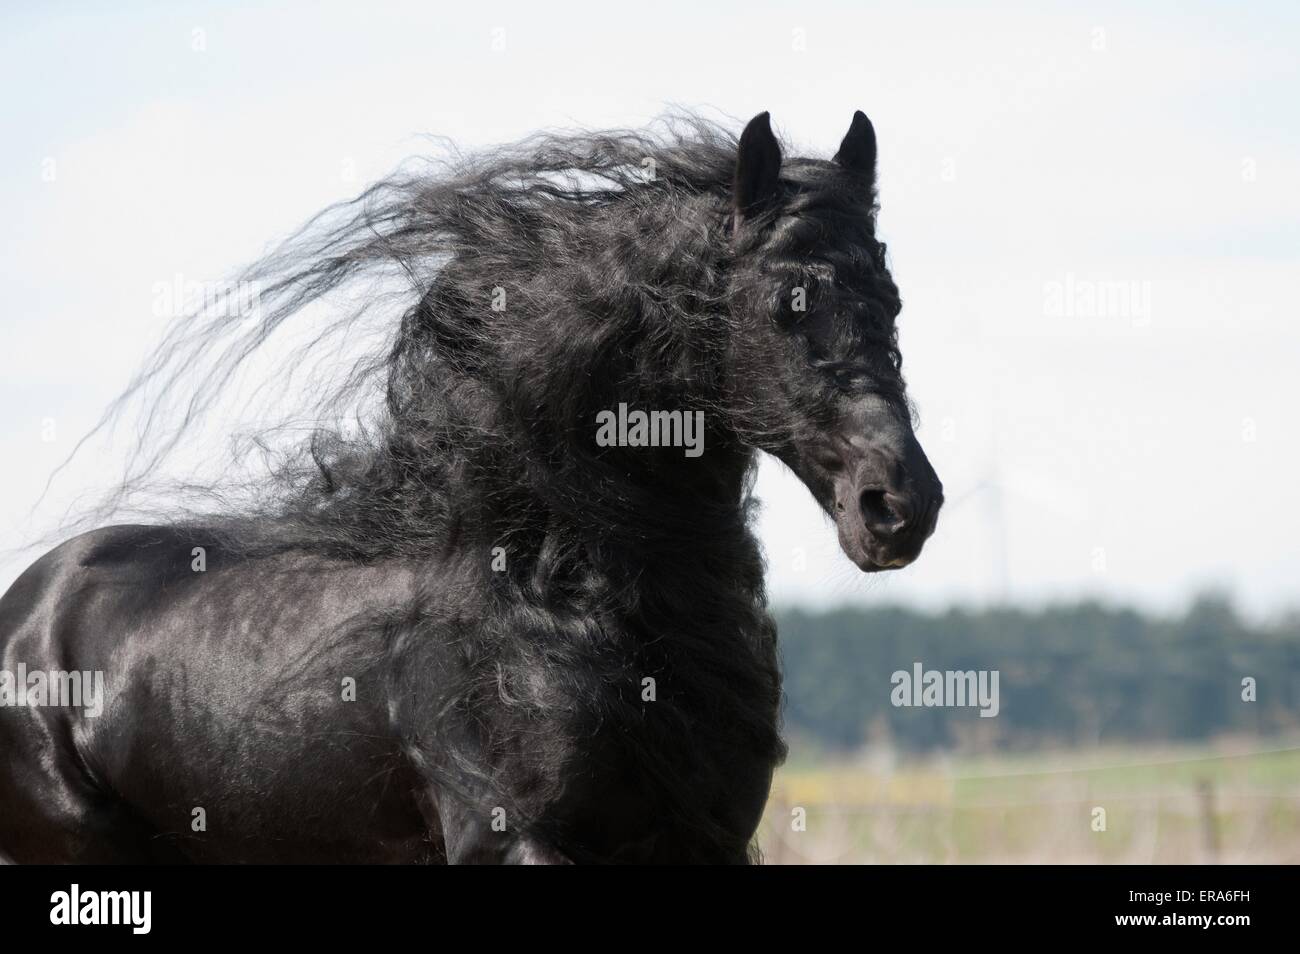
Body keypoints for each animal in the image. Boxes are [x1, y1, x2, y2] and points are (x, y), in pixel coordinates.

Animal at [0, 110, 942, 864]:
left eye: (893, 301)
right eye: (785, 304)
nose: (899, 506)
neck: (548, 583)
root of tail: (32, 604)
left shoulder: (701, 841)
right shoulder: (514, 839)